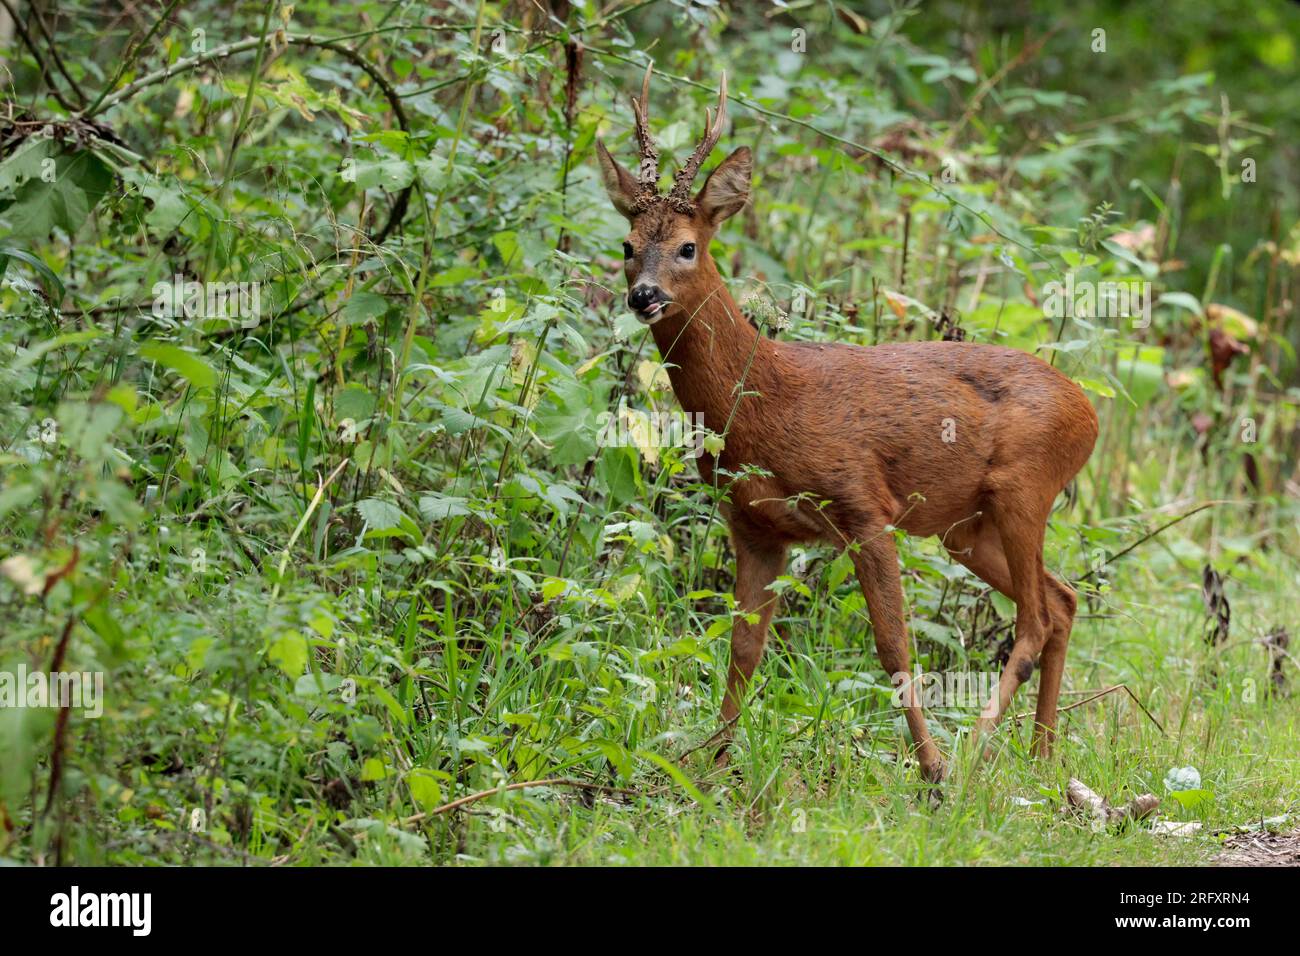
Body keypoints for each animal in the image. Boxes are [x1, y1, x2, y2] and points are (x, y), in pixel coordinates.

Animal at [595, 66, 1099, 785]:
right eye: (628, 246)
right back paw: (1043, 756)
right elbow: (744, 648)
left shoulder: (864, 504)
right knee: (1063, 601)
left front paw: (930, 769)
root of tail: (1090, 412)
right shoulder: (754, 525)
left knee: (1032, 620)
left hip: (1024, 487)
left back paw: (972, 756)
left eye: (688, 247)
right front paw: (712, 766)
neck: (767, 400)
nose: (644, 296)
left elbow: (893, 649)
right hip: (965, 527)